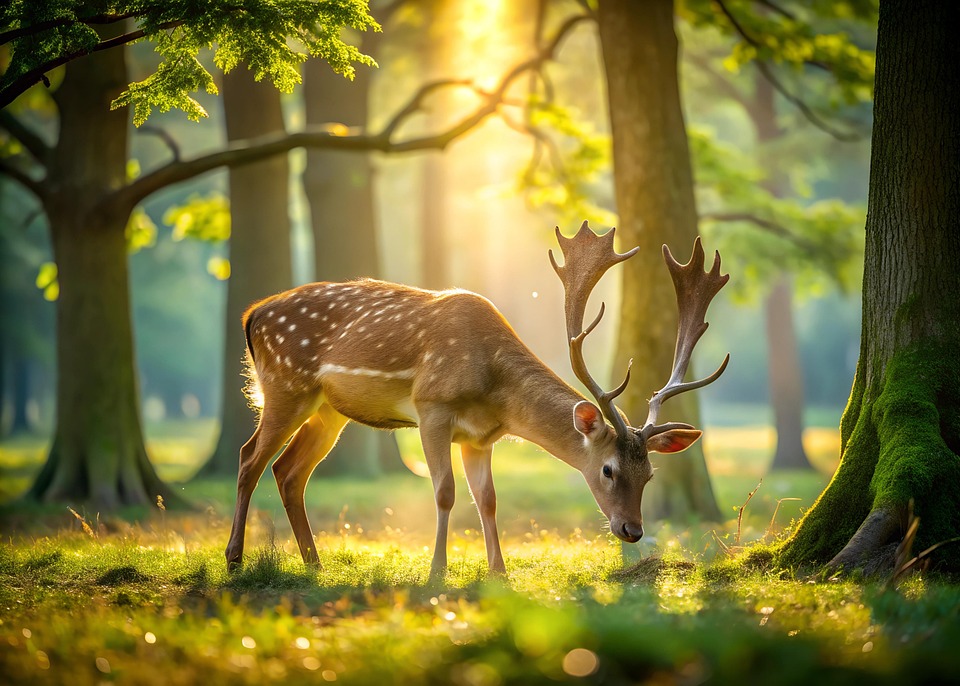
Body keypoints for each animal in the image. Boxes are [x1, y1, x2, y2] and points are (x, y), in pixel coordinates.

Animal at [225, 221, 729, 576]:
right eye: (608, 469)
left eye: (650, 473)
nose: (632, 530)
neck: (492, 391)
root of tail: (252, 315)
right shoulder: (431, 407)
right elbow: (445, 492)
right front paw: (437, 571)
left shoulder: (480, 438)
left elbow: (487, 499)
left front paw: (499, 572)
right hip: (285, 384)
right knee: (249, 456)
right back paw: (235, 558)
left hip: (328, 410)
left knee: (288, 471)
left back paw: (314, 563)